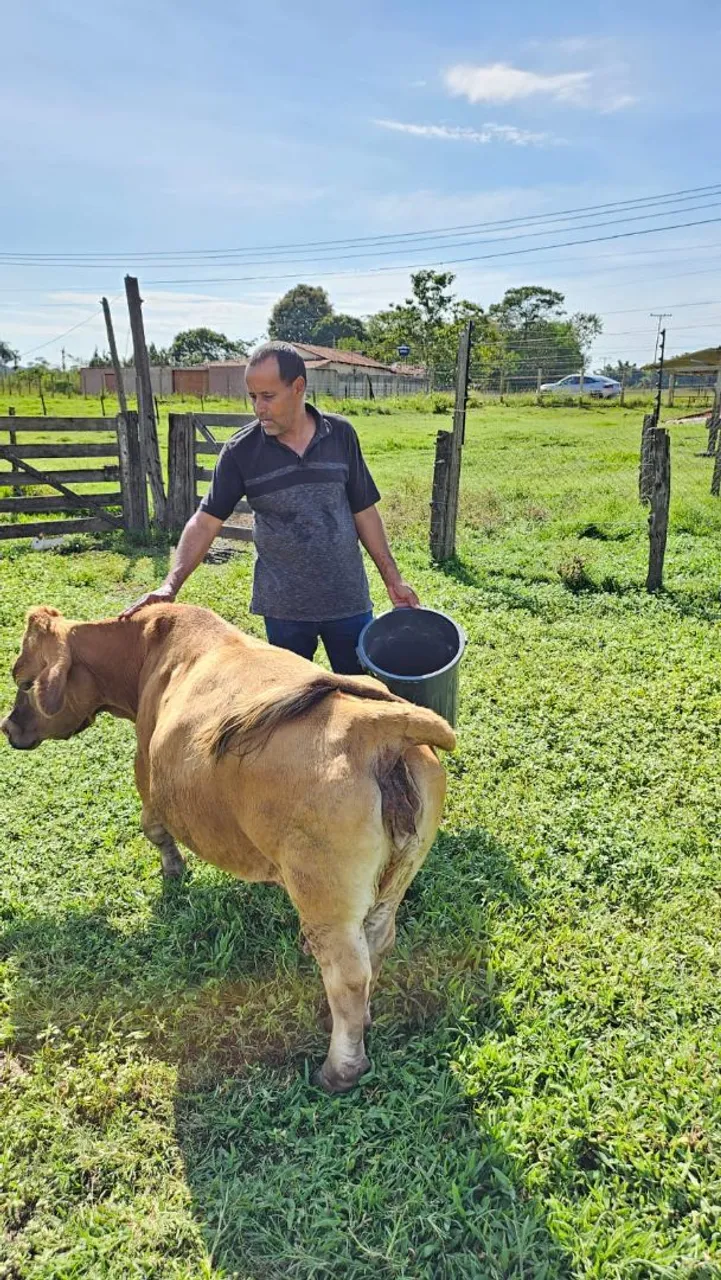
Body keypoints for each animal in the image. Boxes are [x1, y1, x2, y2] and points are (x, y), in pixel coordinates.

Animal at [1, 603, 455, 1093]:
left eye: (23, 680)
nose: (8, 727)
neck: (147, 651)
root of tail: (375, 727)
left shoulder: (147, 777)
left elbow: (153, 828)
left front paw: (174, 870)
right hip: (394, 878)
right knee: (377, 943)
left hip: (326, 897)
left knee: (349, 977)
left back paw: (340, 1069)